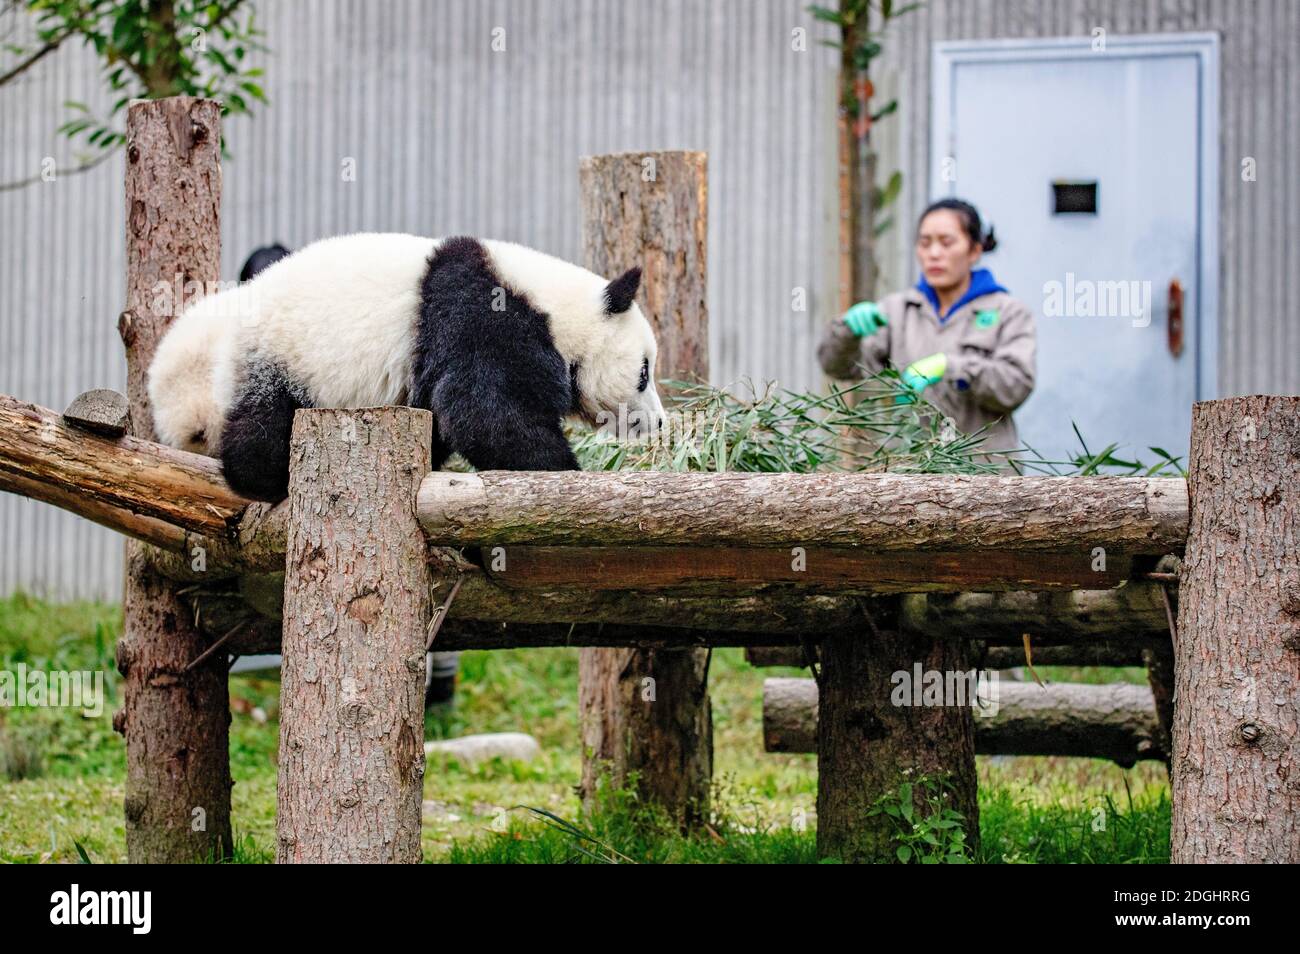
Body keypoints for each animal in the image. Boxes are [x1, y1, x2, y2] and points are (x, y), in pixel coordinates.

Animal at [147, 232, 666, 502]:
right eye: (644, 372)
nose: (660, 422)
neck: (556, 308)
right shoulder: (483, 315)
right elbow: (485, 411)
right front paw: (564, 471)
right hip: (280, 357)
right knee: (263, 425)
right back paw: (263, 477)